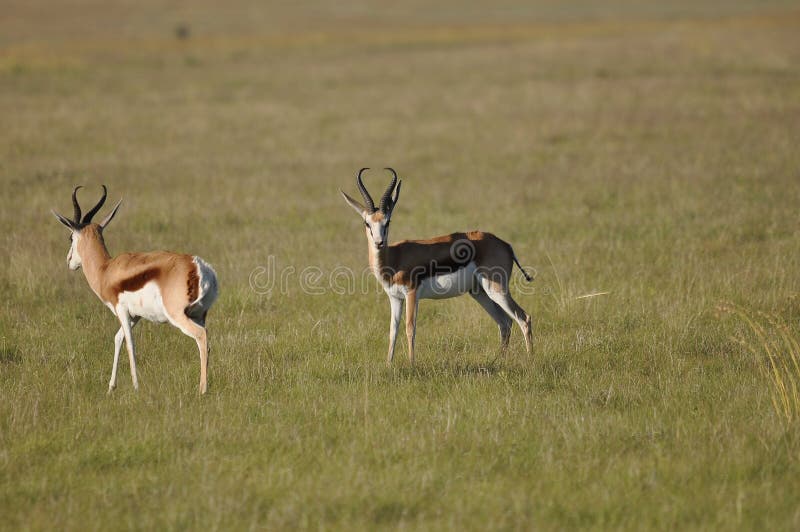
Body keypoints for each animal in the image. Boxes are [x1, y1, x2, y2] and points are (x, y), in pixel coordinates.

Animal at [52, 185, 219, 394]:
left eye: (70, 237)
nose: (69, 261)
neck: (106, 270)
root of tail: (198, 267)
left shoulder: (122, 311)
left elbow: (130, 345)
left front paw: (136, 387)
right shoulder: (136, 316)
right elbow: (118, 339)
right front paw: (111, 387)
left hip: (178, 316)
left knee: (201, 337)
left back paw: (202, 390)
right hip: (199, 315)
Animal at [341, 168, 534, 364]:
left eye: (387, 222)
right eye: (367, 223)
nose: (379, 243)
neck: (394, 258)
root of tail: (505, 244)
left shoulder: (411, 294)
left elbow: (410, 328)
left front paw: (411, 364)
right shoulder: (395, 298)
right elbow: (392, 331)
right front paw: (389, 364)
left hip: (496, 289)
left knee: (523, 318)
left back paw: (530, 360)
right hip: (480, 293)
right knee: (505, 323)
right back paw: (498, 360)